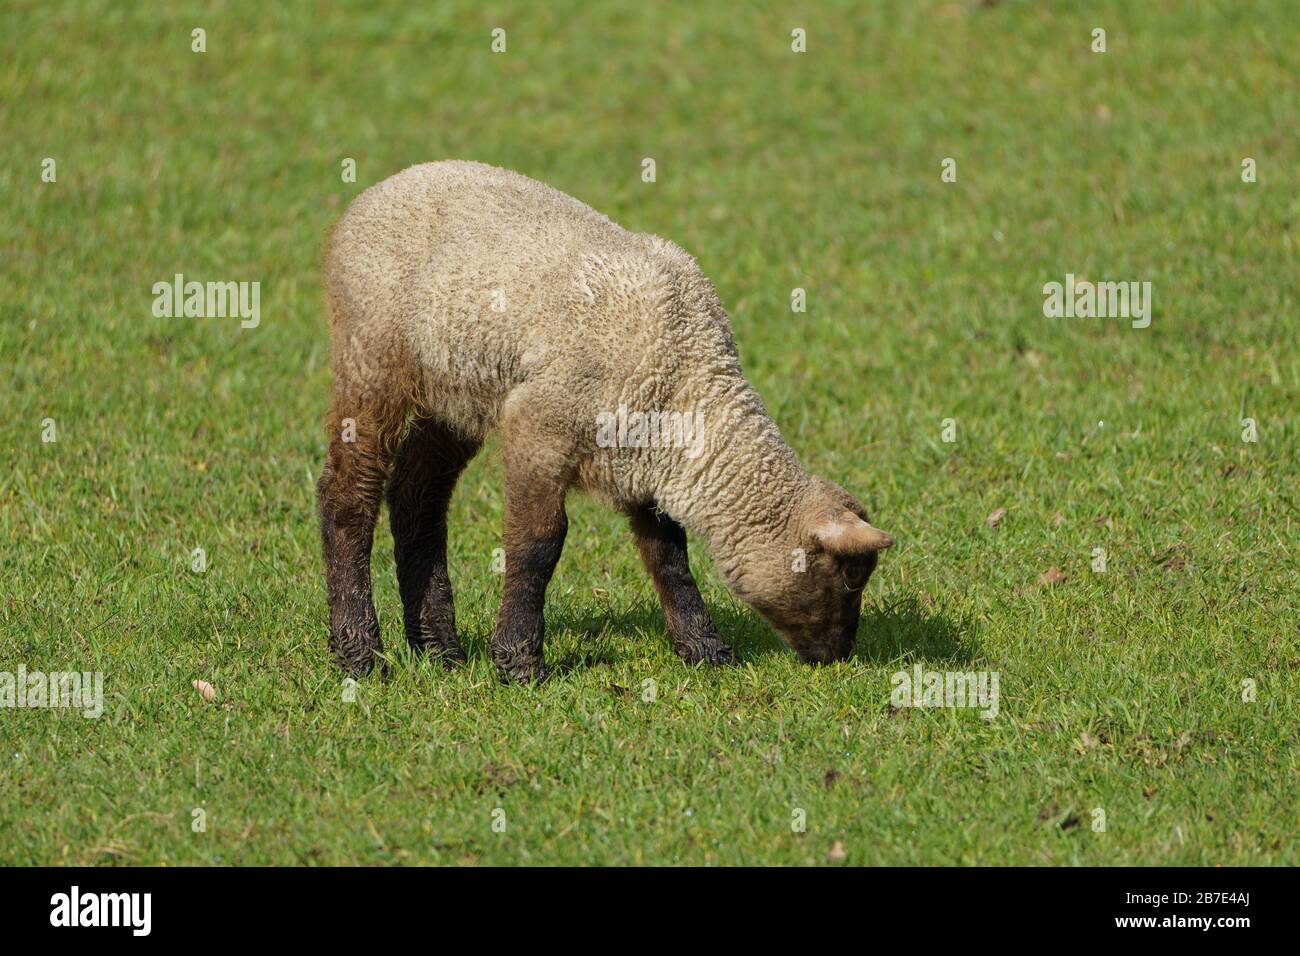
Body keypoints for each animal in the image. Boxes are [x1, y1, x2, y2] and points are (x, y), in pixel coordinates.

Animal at [317, 160, 894, 682]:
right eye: (847, 578)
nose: (841, 654)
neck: (687, 376)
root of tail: (379, 189)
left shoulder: (645, 453)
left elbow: (667, 553)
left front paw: (705, 650)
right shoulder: (541, 425)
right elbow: (539, 544)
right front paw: (519, 663)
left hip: (456, 390)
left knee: (417, 495)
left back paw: (439, 648)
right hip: (372, 354)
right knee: (347, 494)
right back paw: (360, 653)